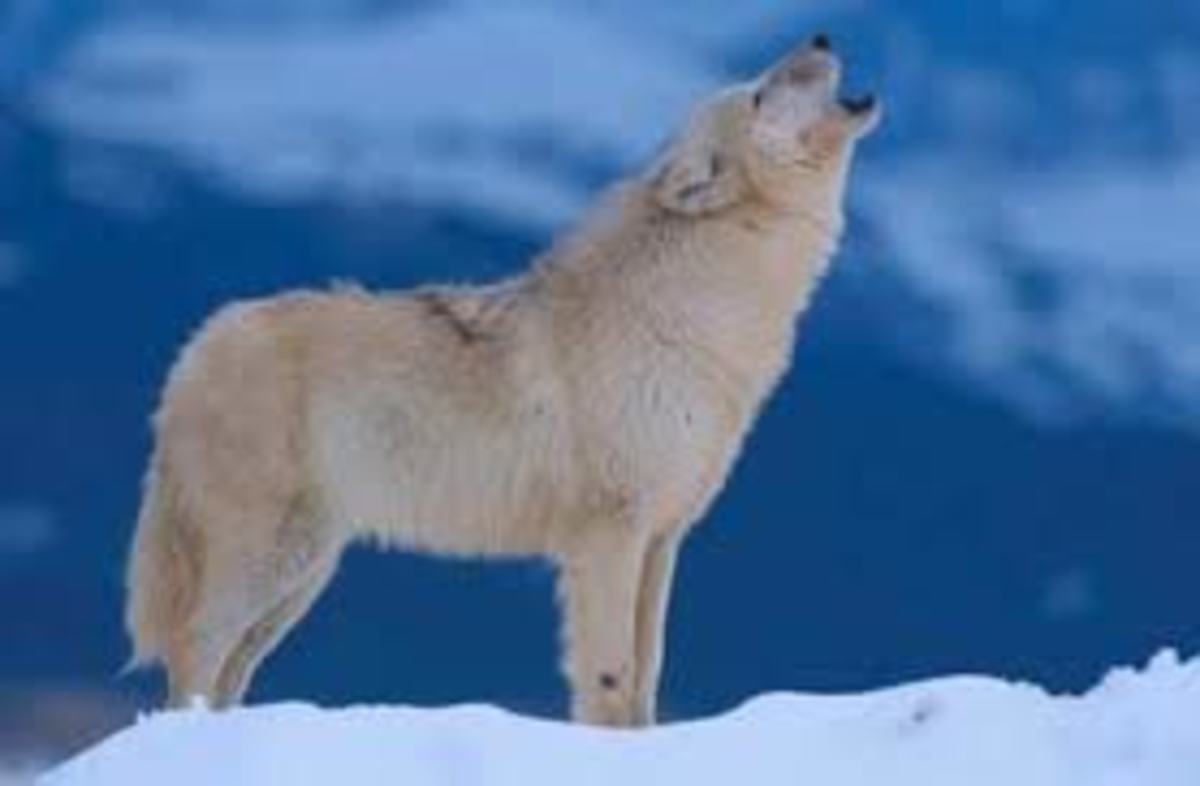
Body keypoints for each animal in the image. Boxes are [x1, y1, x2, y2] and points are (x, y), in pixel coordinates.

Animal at [125, 34, 880, 727]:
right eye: (759, 92)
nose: (820, 36)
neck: (696, 312)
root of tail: (198, 346)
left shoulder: (664, 538)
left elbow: (648, 673)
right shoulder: (609, 535)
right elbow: (612, 675)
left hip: (300, 577)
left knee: (230, 669)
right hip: (272, 561)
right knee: (194, 649)